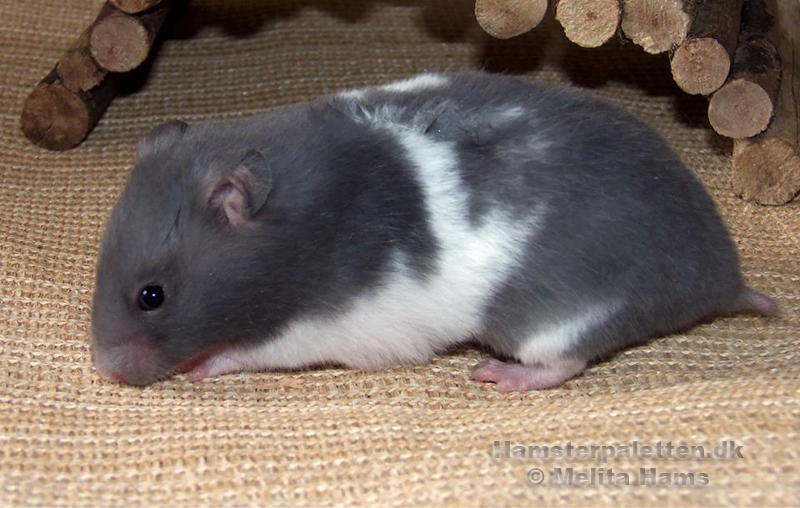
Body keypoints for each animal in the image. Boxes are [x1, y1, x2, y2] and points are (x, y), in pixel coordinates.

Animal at [90, 72, 778, 391]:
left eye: (151, 296)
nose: (104, 370)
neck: (301, 228)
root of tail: (722, 279)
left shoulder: (324, 327)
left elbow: (249, 351)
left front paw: (200, 366)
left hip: (553, 317)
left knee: (566, 361)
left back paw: (497, 376)